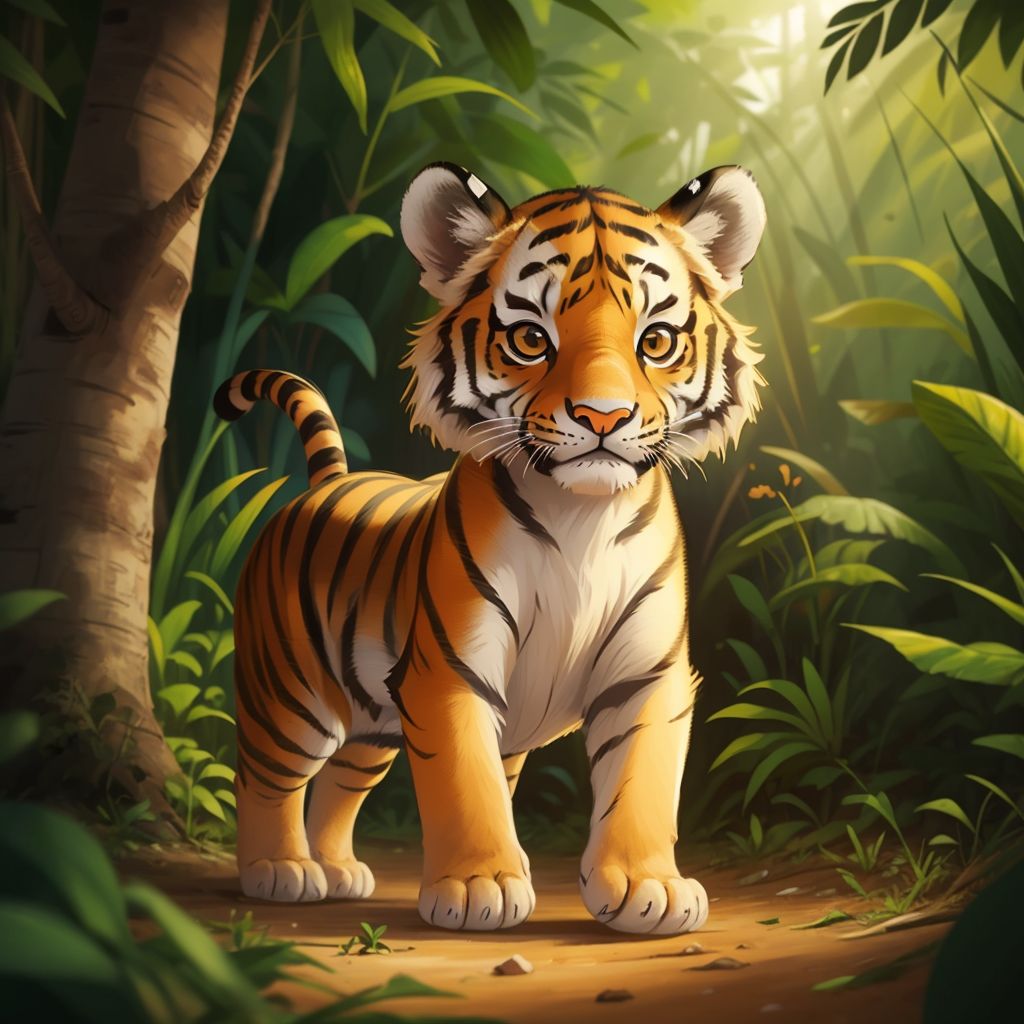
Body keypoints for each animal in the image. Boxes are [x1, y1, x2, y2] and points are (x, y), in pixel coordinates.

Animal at [215, 161, 766, 934]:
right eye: (532, 339)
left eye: (655, 341)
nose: (604, 417)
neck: (581, 515)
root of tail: (329, 482)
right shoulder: (448, 670)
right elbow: (462, 780)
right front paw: (479, 886)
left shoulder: (648, 673)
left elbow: (643, 778)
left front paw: (647, 887)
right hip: (289, 694)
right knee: (265, 775)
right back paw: (279, 869)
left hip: (371, 726)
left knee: (342, 782)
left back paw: (339, 869)